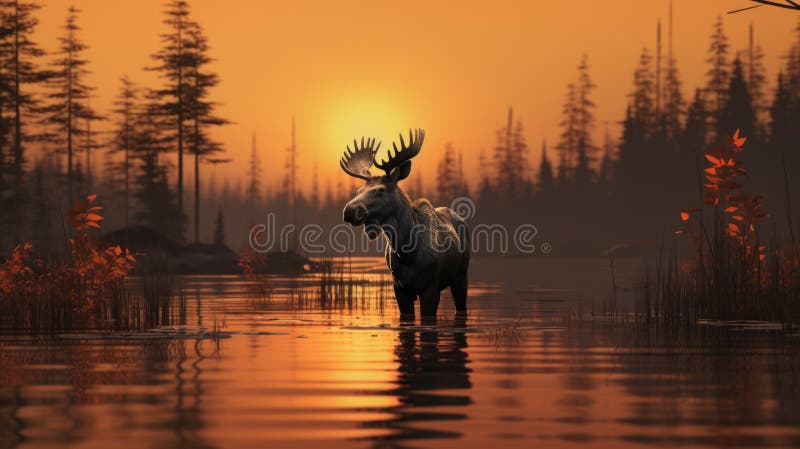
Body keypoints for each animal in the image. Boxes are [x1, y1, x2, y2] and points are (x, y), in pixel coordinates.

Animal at [340, 129, 470, 317]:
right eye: (359, 190)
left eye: (381, 190)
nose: (349, 211)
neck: (407, 251)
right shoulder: (400, 289)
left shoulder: (430, 288)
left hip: (461, 276)